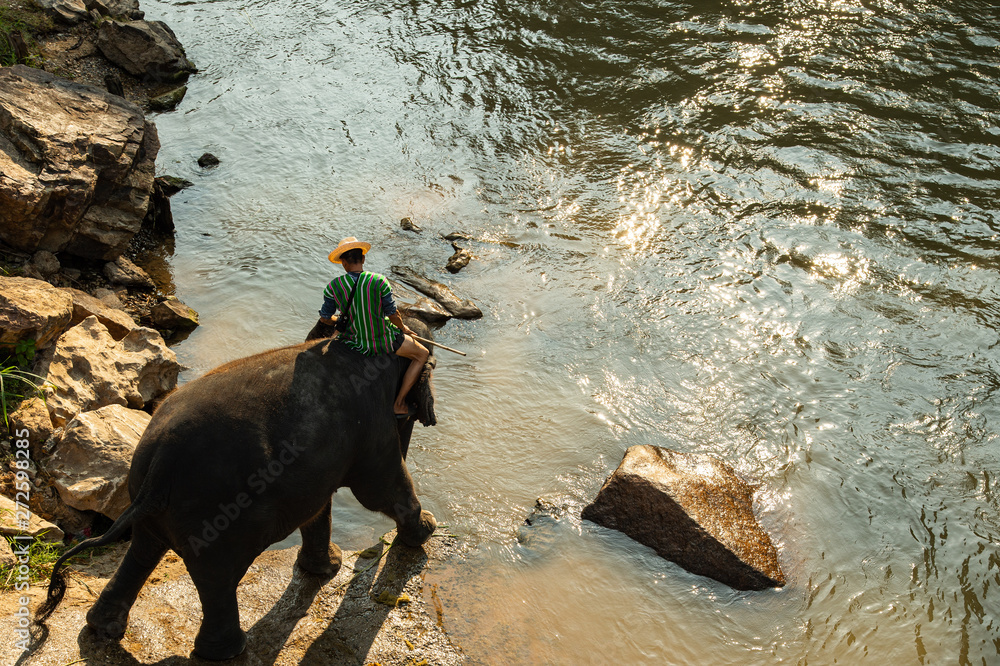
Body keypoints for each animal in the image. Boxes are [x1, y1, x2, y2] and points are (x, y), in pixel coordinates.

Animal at [34, 320, 439, 660]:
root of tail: (163, 460)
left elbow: (320, 504)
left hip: (151, 499)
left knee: (144, 550)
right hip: (213, 515)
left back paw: (103, 629)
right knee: (218, 577)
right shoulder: (371, 427)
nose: (367, 554)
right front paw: (426, 531)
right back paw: (228, 652)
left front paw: (328, 568)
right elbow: (379, 487)